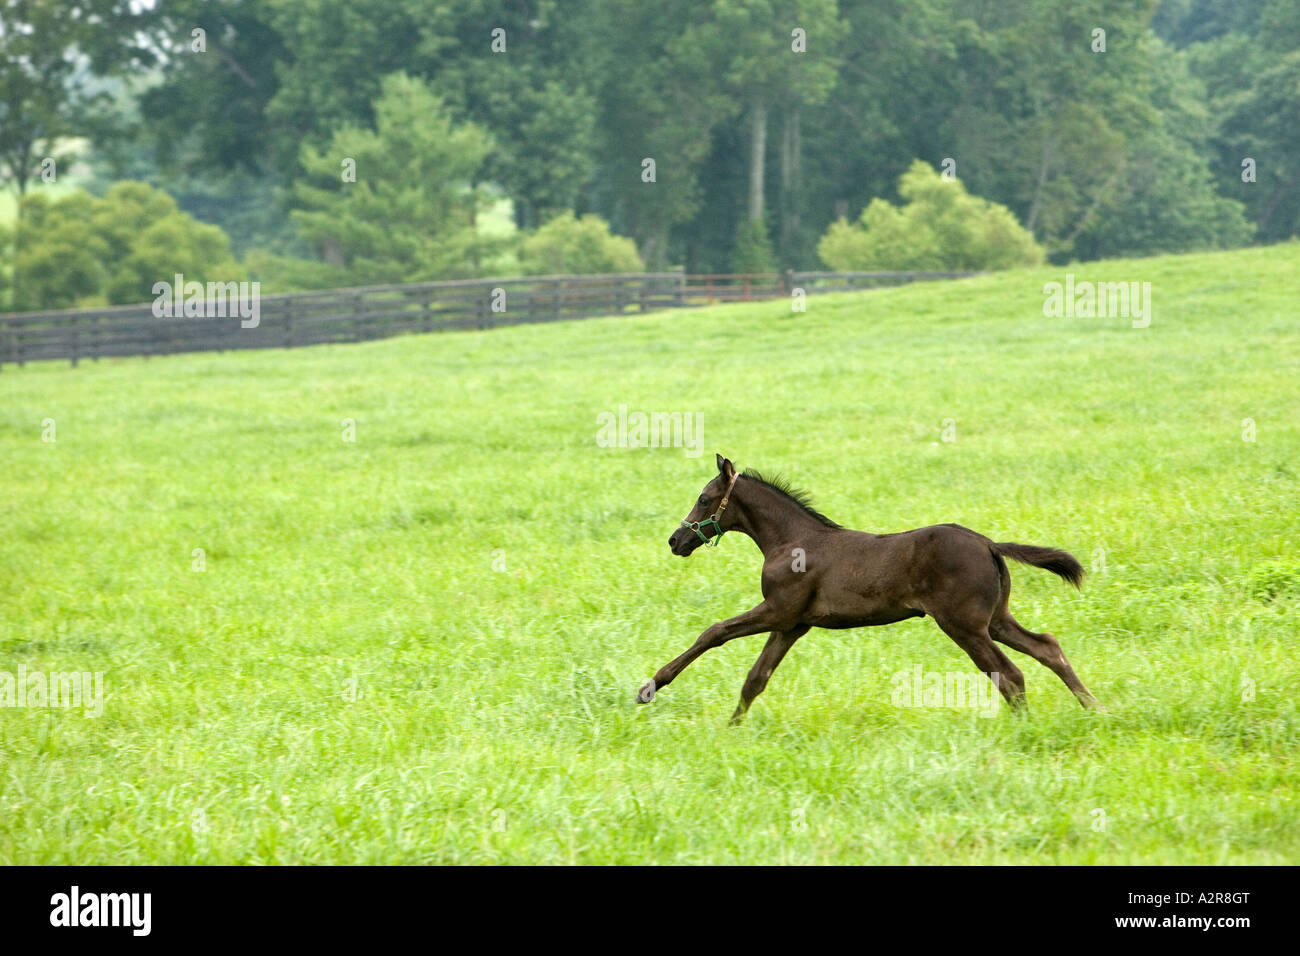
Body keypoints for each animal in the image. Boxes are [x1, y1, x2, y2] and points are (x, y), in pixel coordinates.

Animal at [637, 455, 1098, 723]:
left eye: (703, 498)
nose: (676, 541)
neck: (790, 540)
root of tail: (988, 543)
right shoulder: (793, 624)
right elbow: (756, 678)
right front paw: (732, 729)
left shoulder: (779, 609)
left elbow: (714, 632)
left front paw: (650, 687)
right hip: (995, 620)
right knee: (1047, 647)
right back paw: (1096, 710)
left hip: (963, 625)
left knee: (1011, 675)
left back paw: (1028, 729)